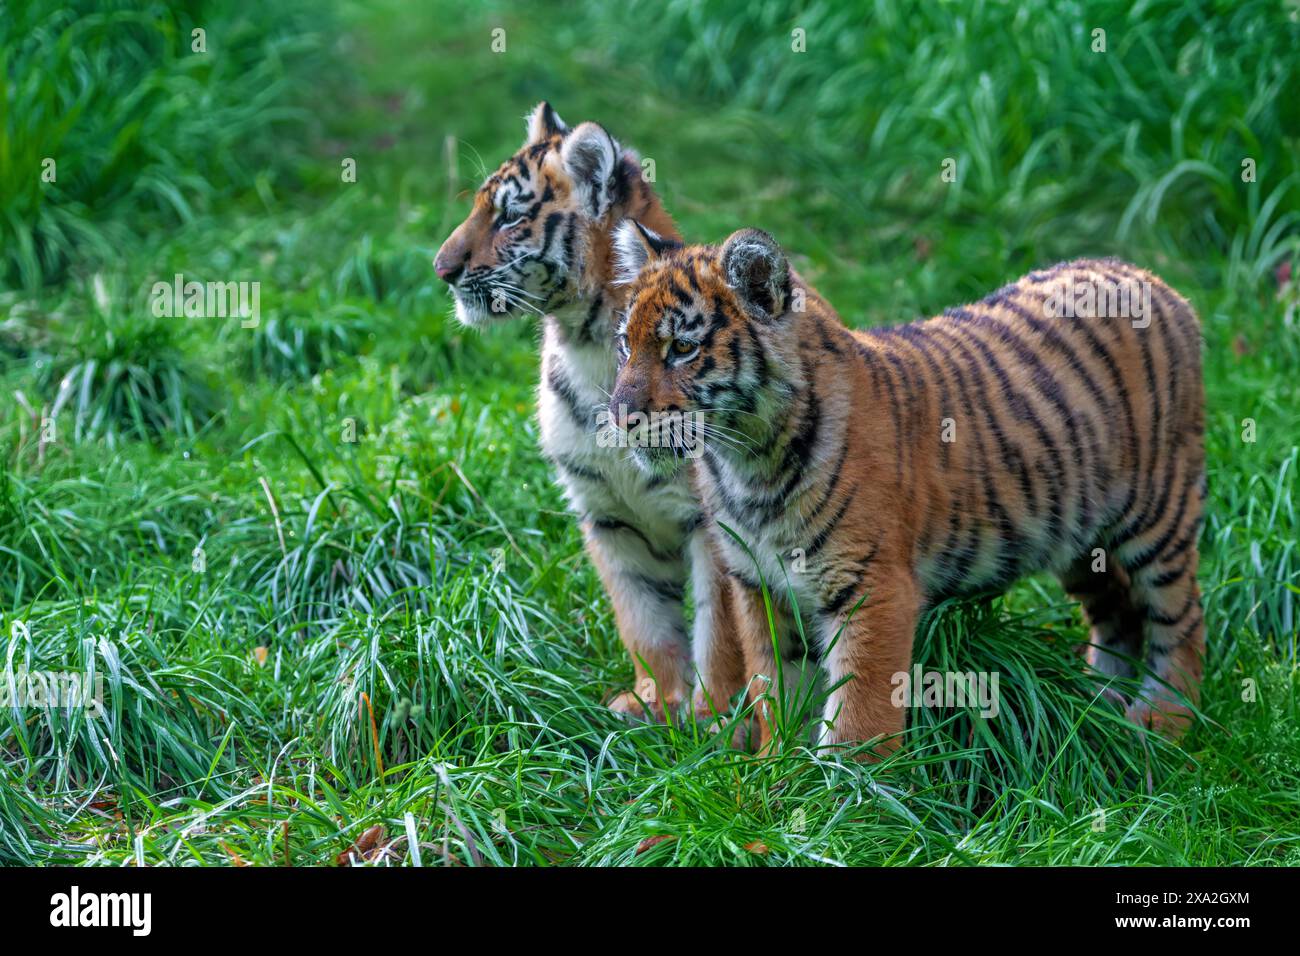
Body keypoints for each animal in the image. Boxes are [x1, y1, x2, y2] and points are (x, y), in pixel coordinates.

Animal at [433, 103, 745, 722]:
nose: (441, 269)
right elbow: (642, 619)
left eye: (509, 217)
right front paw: (654, 704)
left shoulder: (712, 520)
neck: (588, 343)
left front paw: (716, 721)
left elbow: (720, 630)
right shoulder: (605, 513)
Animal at [608, 221, 1206, 755]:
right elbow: (777, 689)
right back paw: (1099, 701)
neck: (745, 461)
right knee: (1116, 609)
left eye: (683, 348)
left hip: (1158, 513)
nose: (617, 414)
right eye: (624, 346)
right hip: (1075, 535)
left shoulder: (872, 586)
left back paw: (1162, 720)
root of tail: (1149, 277)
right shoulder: (758, 584)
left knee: (1182, 618)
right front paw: (775, 773)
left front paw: (843, 798)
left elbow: (858, 717)